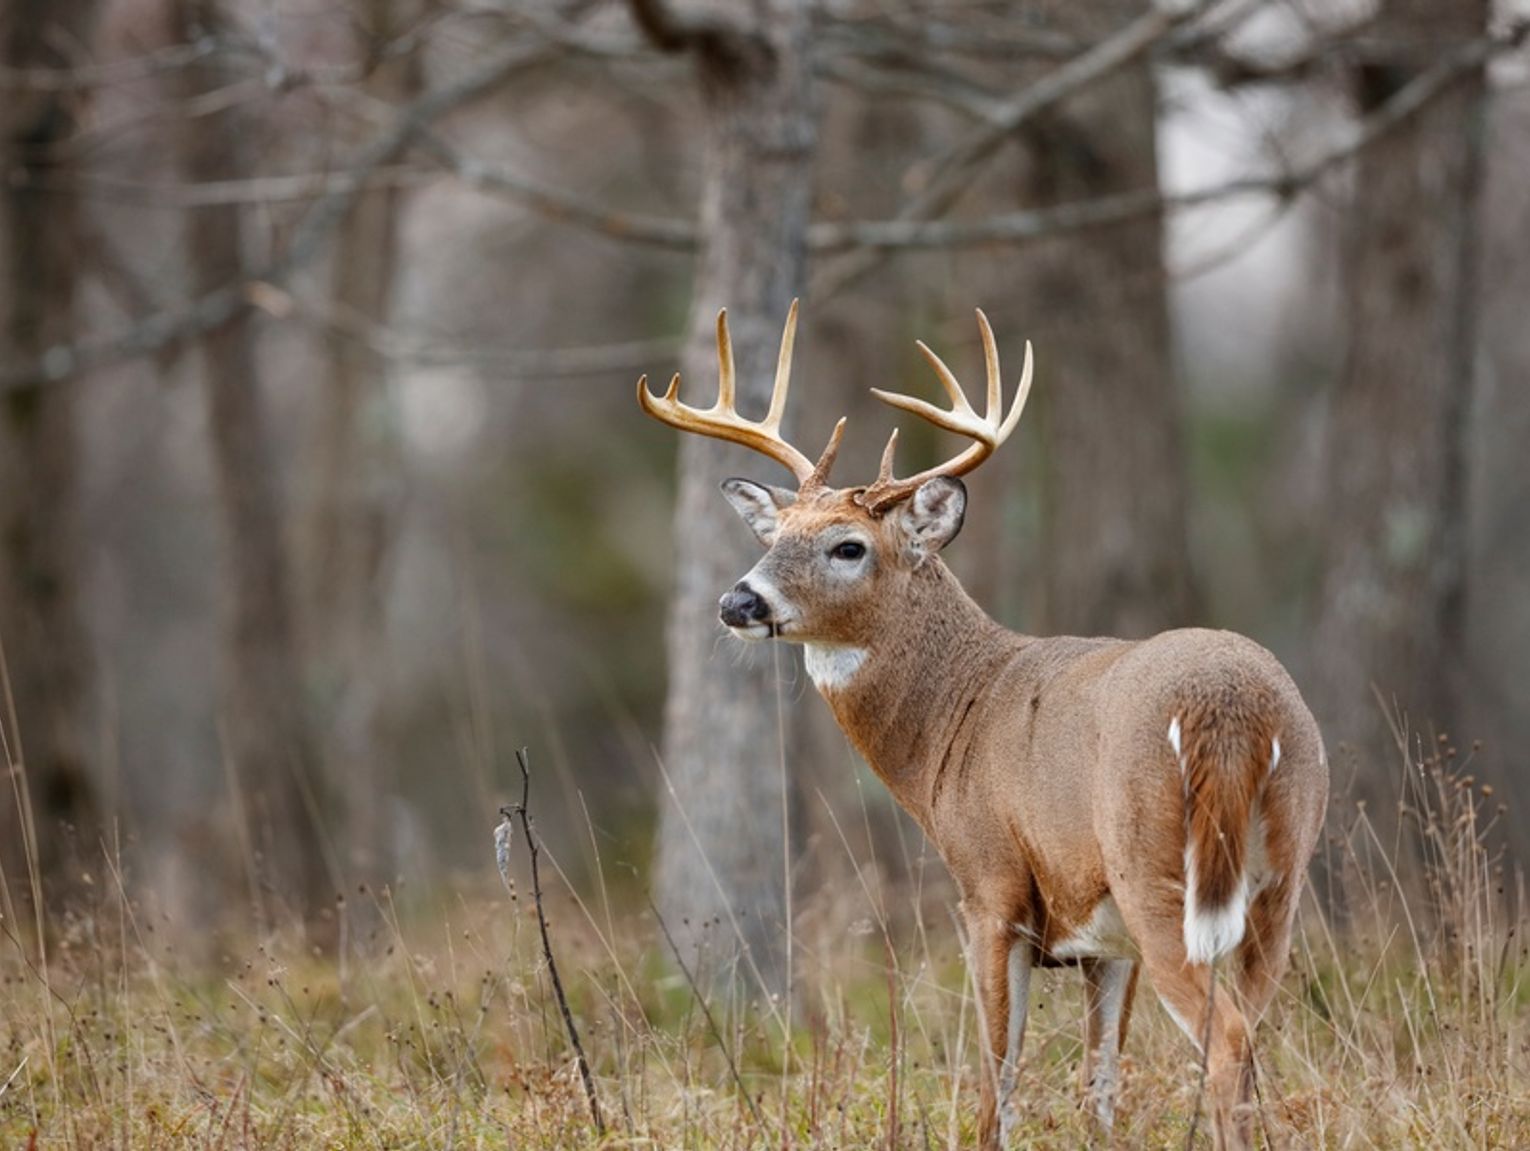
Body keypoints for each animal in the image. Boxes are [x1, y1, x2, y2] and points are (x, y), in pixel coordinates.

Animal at [638, 302, 1328, 1150]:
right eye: (774, 536)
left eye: (848, 545)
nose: (738, 601)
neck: (955, 719)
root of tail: (1232, 708)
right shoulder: (1102, 939)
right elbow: (1099, 1084)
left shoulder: (990, 883)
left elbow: (996, 1075)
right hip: (1281, 876)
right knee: (1253, 1030)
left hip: (1156, 869)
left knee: (1228, 1039)